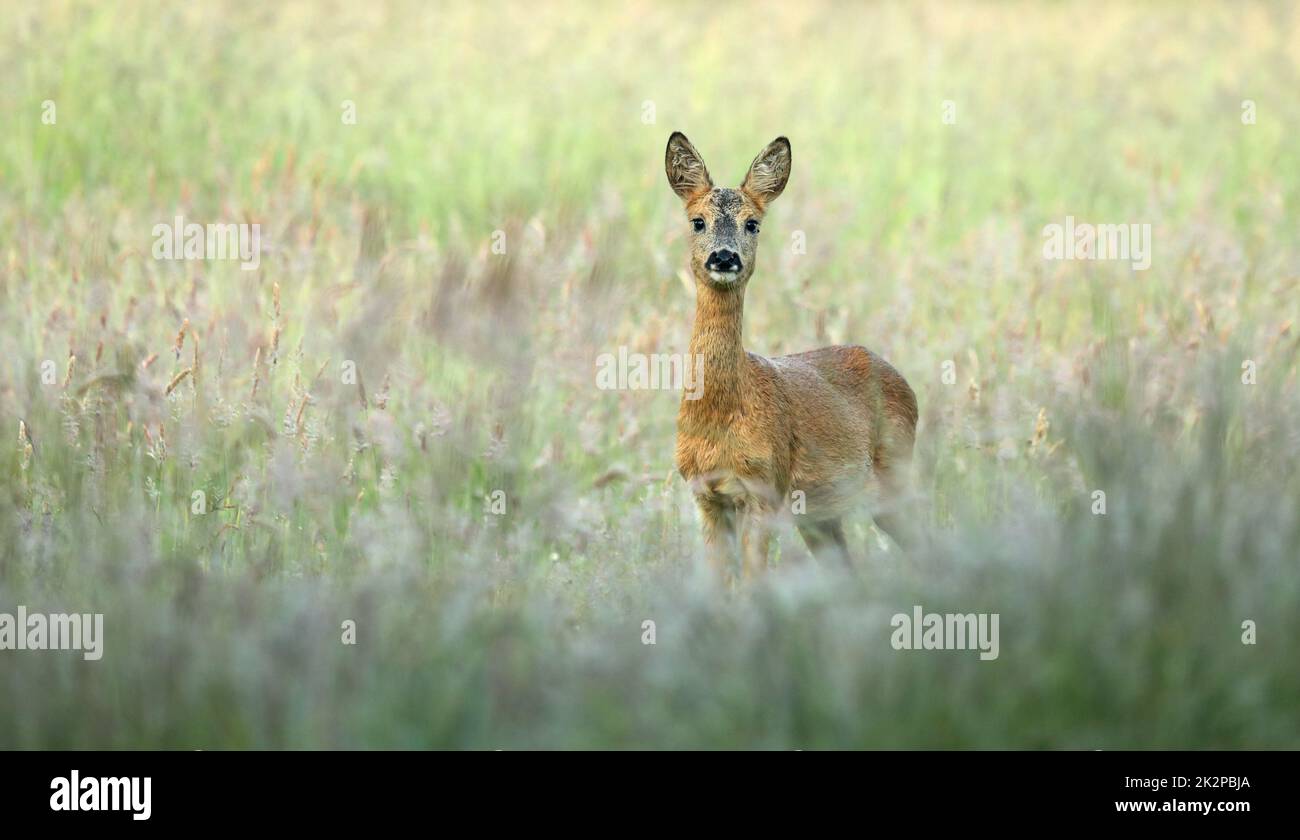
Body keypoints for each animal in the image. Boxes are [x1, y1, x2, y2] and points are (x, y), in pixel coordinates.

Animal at [665, 132, 919, 584]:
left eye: (752, 223)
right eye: (697, 221)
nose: (724, 257)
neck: (721, 415)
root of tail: (907, 386)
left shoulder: (764, 488)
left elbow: (753, 584)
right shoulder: (705, 496)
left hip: (893, 475)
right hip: (821, 515)